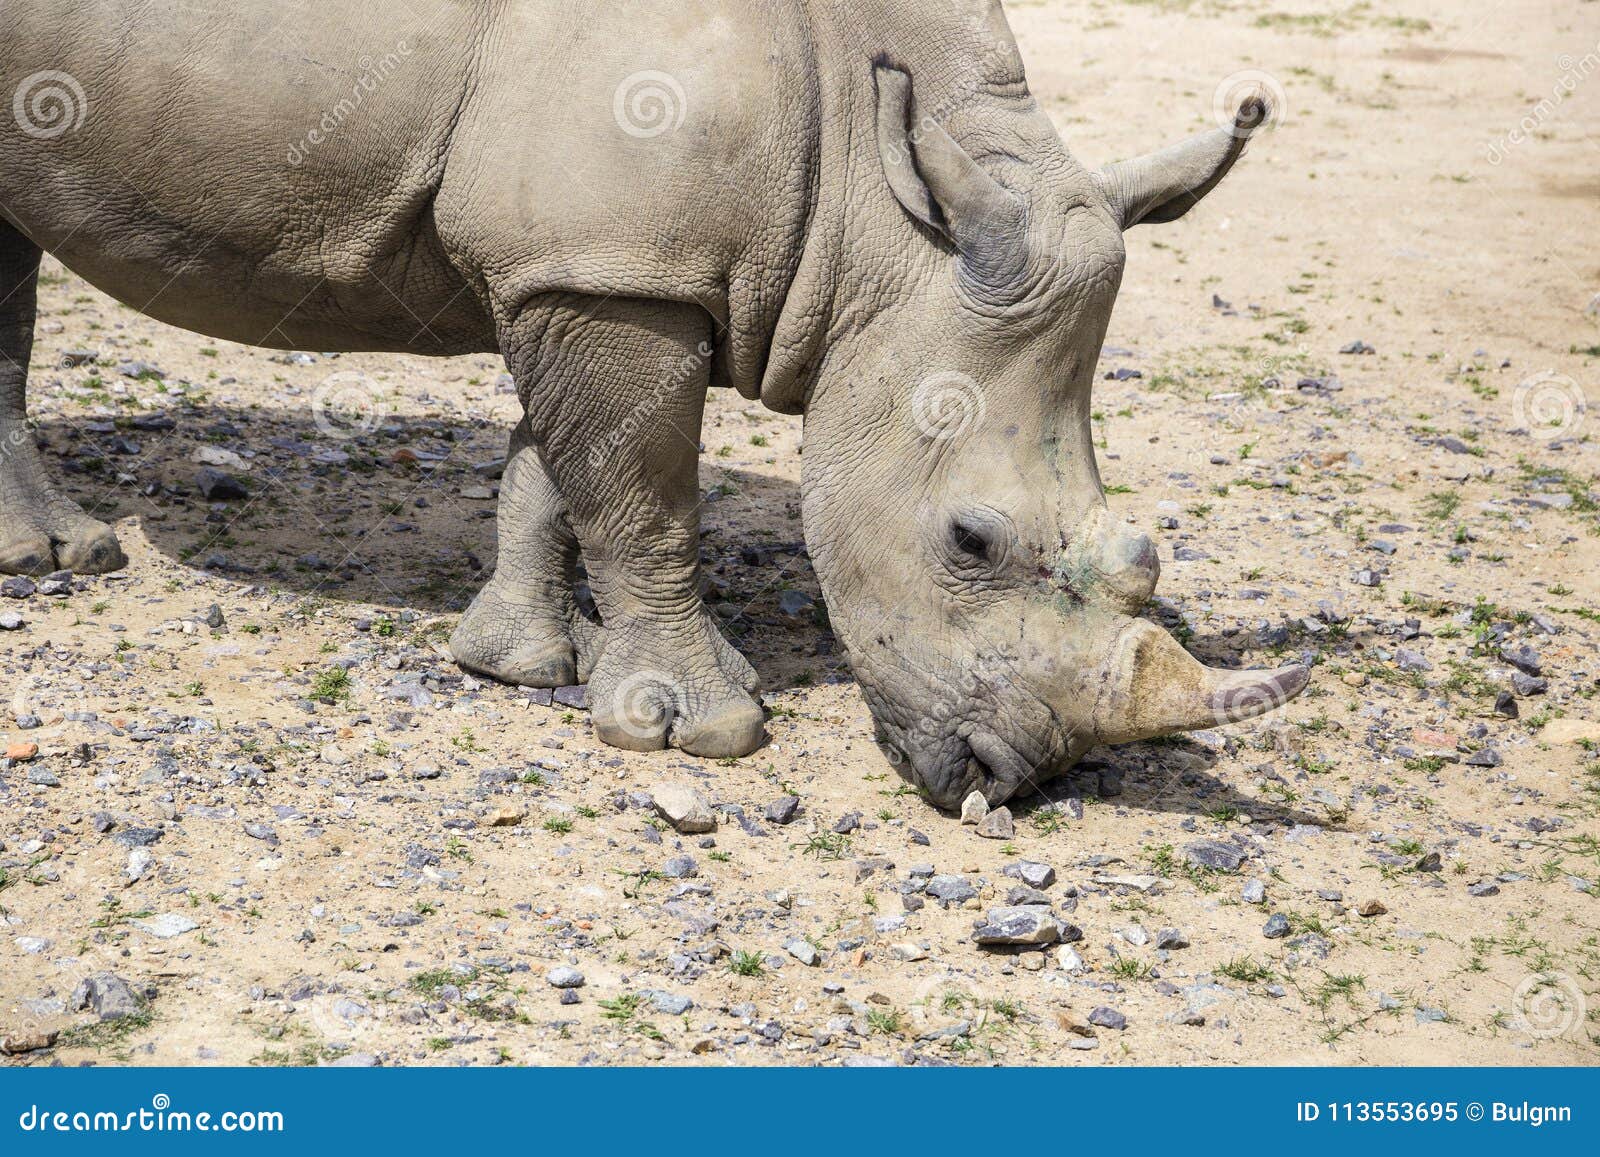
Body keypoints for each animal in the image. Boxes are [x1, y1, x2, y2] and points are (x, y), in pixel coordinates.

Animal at [0, 0, 1306, 808]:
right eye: (970, 541)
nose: (1011, 777)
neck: (879, 195)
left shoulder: (595, 258)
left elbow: (558, 471)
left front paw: (527, 665)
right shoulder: (609, 268)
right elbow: (642, 495)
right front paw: (696, 732)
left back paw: (56, 557)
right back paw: (57, 563)